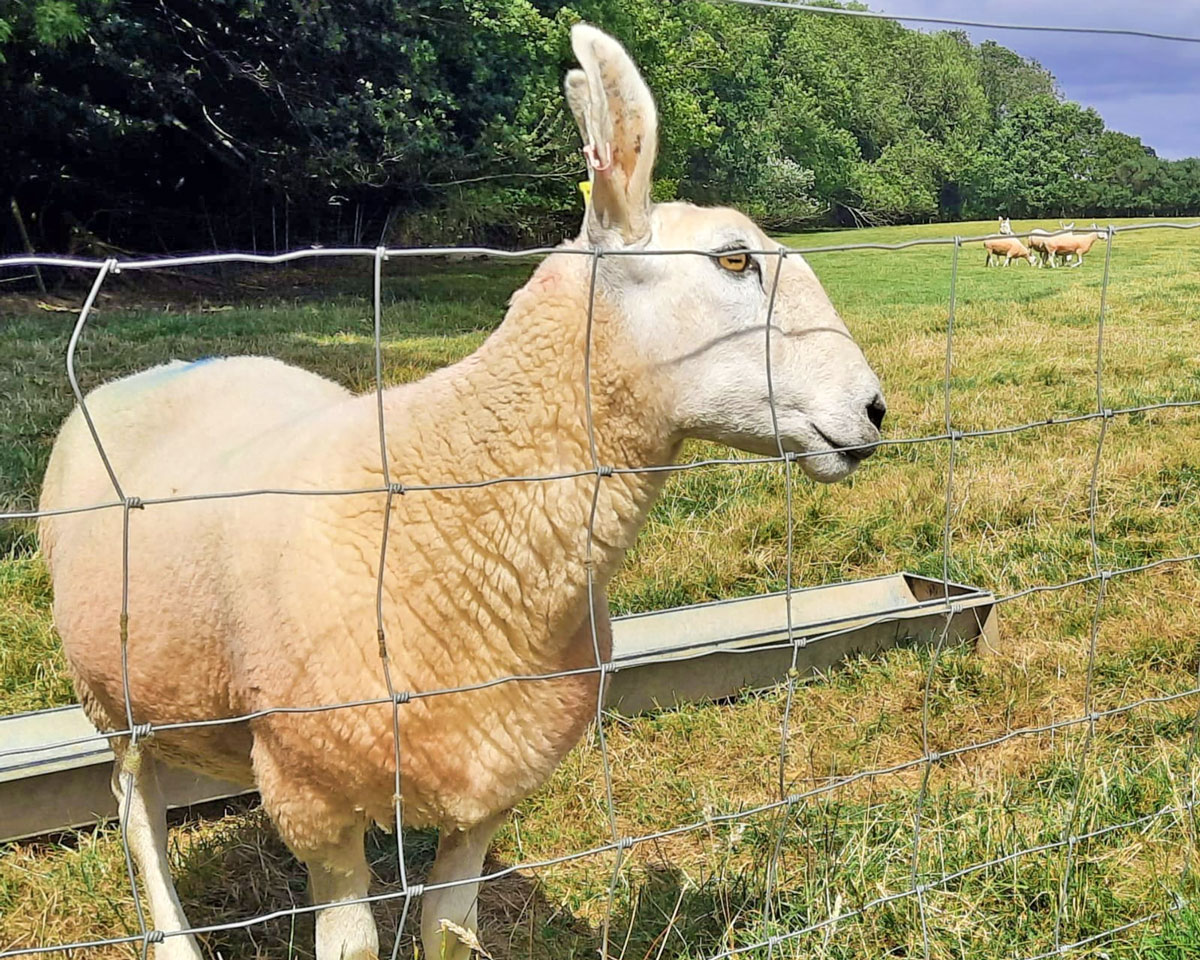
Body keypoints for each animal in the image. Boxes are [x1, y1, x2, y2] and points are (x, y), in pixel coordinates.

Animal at [38, 24, 884, 960]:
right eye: (734, 258)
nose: (874, 409)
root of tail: (160, 365)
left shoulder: (494, 779)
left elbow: (449, 928)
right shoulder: (311, 793)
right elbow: (350, 943)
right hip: (110, 693)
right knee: (138, 811)